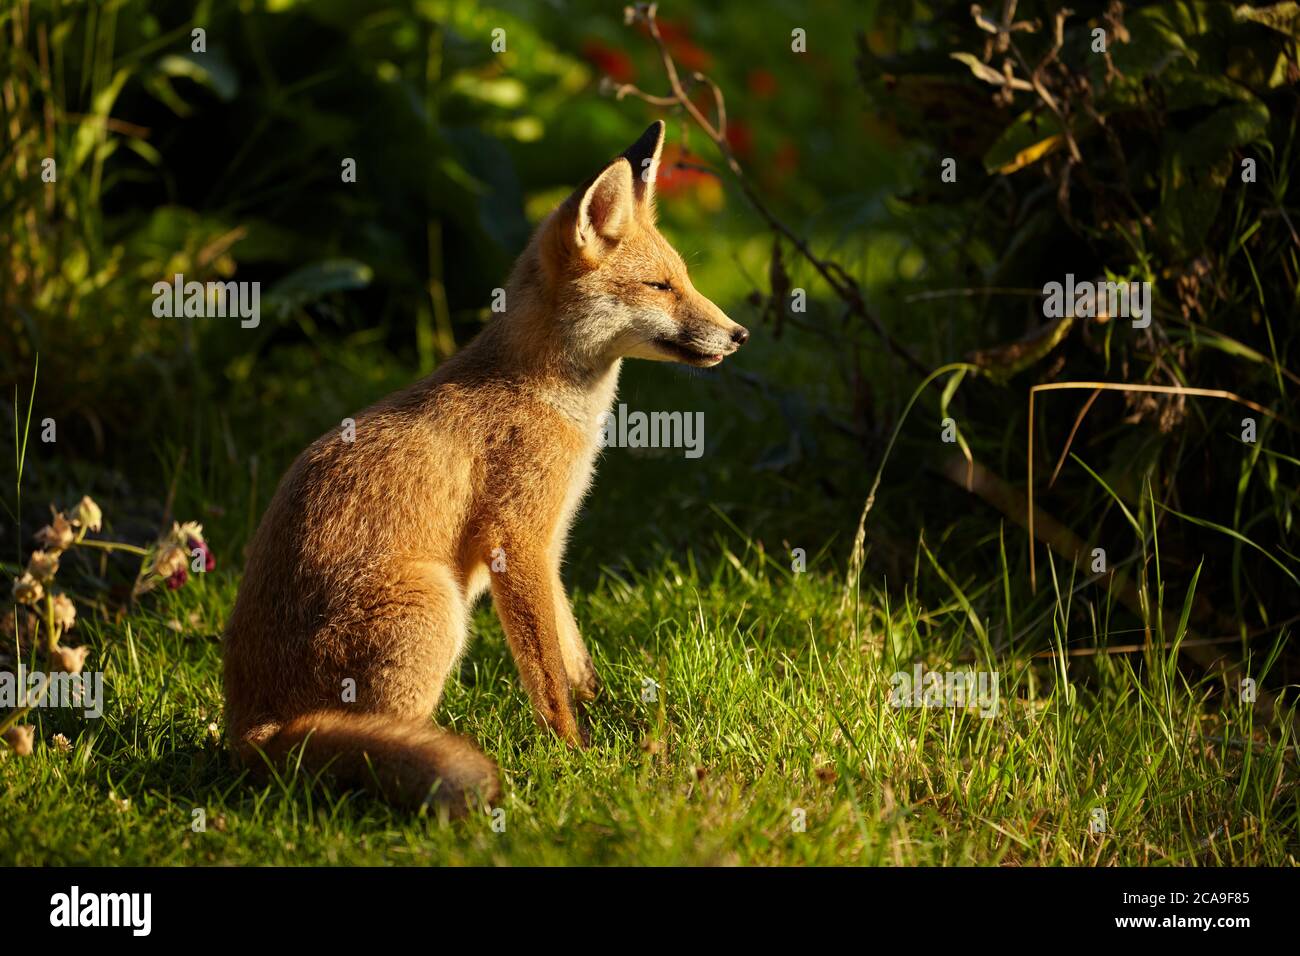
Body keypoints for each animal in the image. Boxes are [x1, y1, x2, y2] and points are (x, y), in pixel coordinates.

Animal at [223, 121, 749, 814]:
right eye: (660, 287)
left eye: (685, 278)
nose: (740, 334)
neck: (545, 395)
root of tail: (248, 732)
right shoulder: (515, 537)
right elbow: (547, 675)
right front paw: (577, 754)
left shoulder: (550, 545)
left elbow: (572, 654)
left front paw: (608, 717)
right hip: (435, 603)